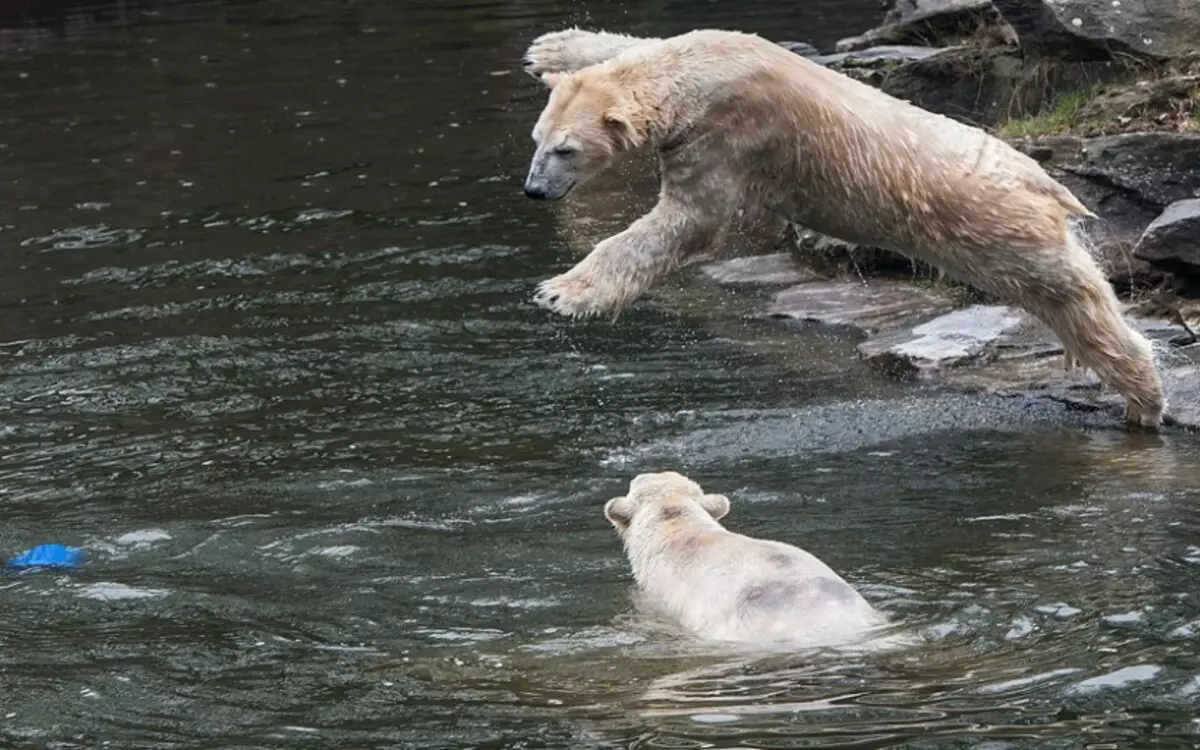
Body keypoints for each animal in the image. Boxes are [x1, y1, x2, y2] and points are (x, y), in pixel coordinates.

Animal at [520, 29, 1166, 427]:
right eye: (537, 140)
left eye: (566, 151)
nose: (533, 191)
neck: (705, 81)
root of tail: (1046, 184)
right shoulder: (712, 48)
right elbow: (631, 43)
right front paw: (548, 49)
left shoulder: (728, 137)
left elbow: (687, 224)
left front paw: (563, 292)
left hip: (997, 226)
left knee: (1070, 295)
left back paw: (1145, 396)